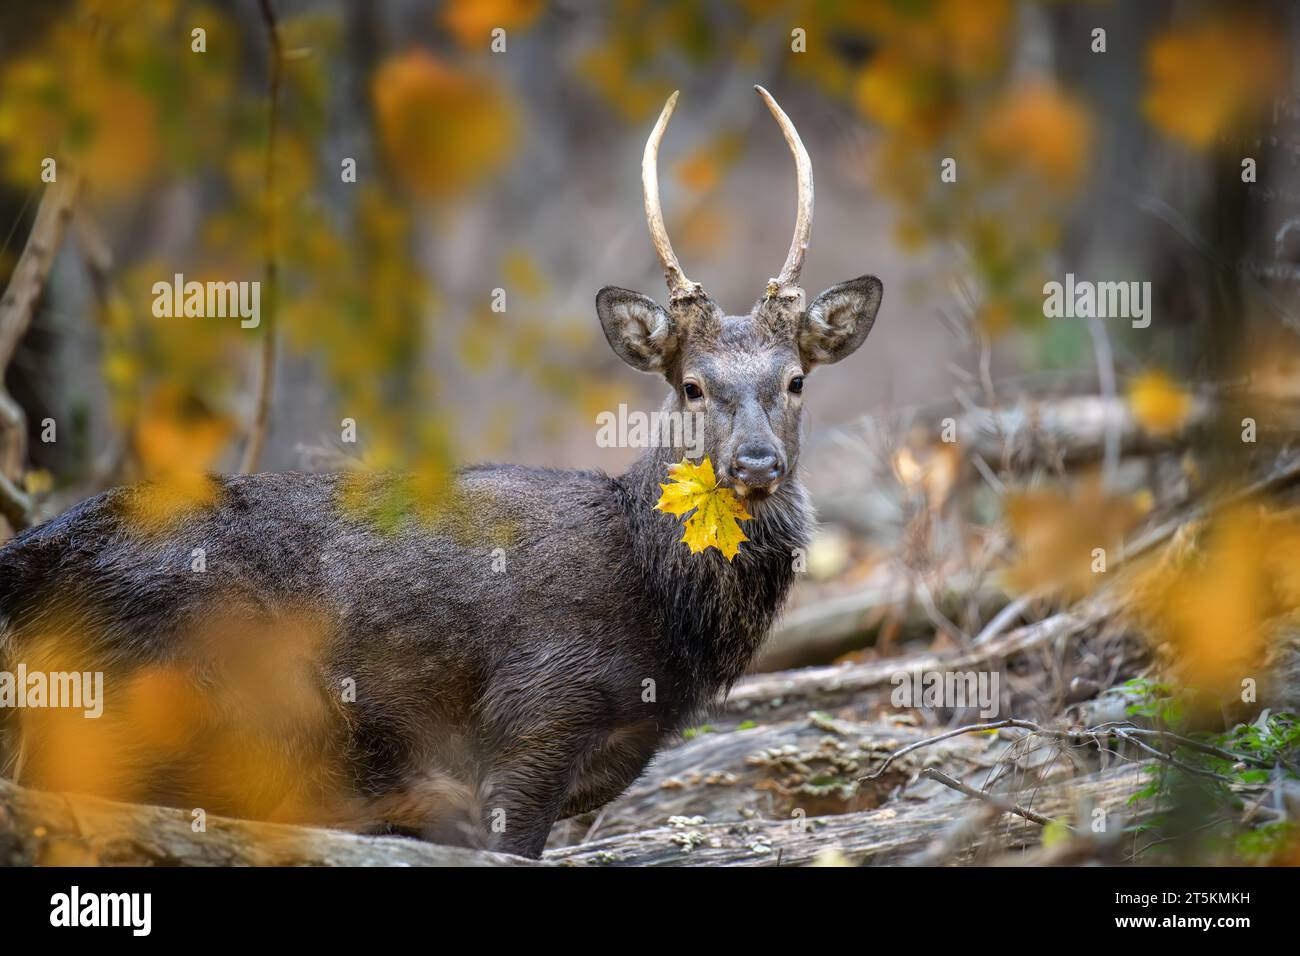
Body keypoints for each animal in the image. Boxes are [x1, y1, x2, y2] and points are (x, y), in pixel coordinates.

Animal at [0, 86, 882, 858]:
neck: (662, 621)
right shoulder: (534, 712)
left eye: (796, 380)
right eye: (691, 385)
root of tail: (25, 568)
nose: (757, 462)